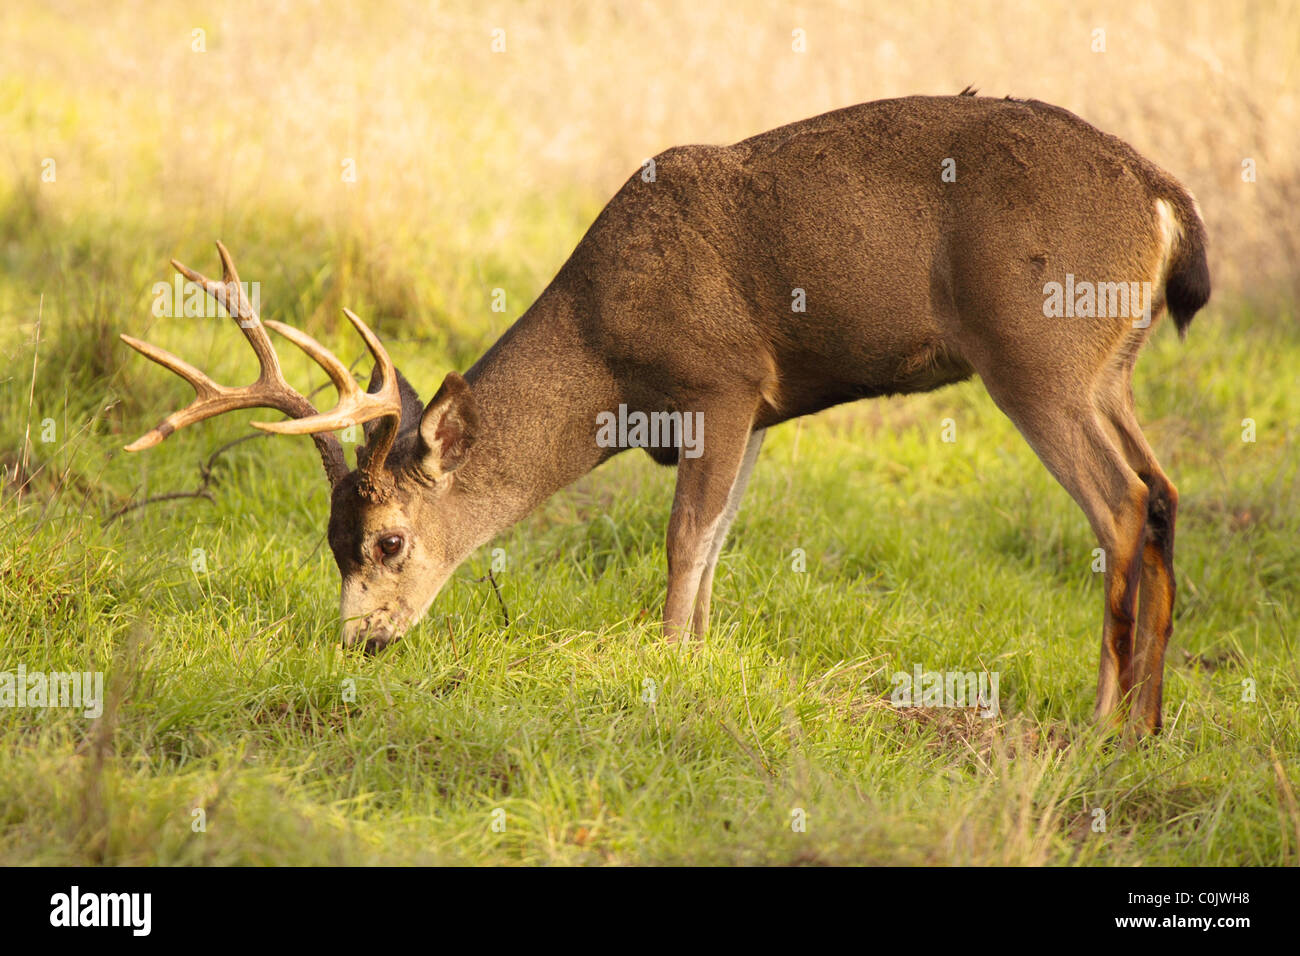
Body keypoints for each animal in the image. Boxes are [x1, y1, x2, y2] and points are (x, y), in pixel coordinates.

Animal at [122, 91, 1210, 738]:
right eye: (330, 538)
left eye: (388, 540)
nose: (363, 642)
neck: (607, 356)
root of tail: (1164, 199)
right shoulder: (760, 410)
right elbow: (719, 542)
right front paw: (700, 657)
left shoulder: (720, 383)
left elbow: (687, 540)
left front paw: (667, 666)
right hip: (1106, 368)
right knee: (1162, 493)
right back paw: (1150, 723)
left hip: (1037, 352)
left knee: (1119, 505)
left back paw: (1100, 720)